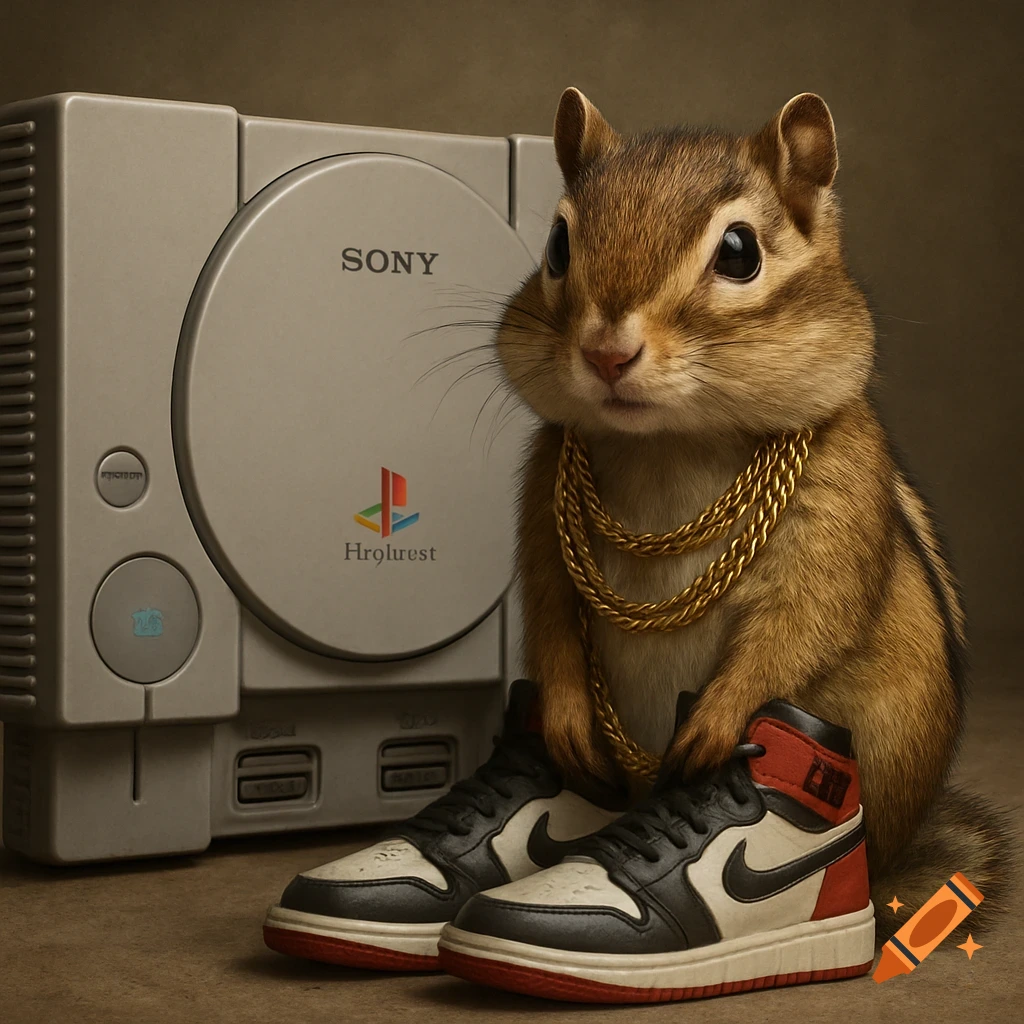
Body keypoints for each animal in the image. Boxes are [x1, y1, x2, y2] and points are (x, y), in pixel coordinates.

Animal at [496, 87, 1014, 932]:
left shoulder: (837, 503)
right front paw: (566, 714)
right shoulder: (544, 504)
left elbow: (799, 623)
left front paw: (720, 717)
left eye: (739, 253)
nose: (607, 354)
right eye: (557, 244)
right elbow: (548, 613)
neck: (669, 444)